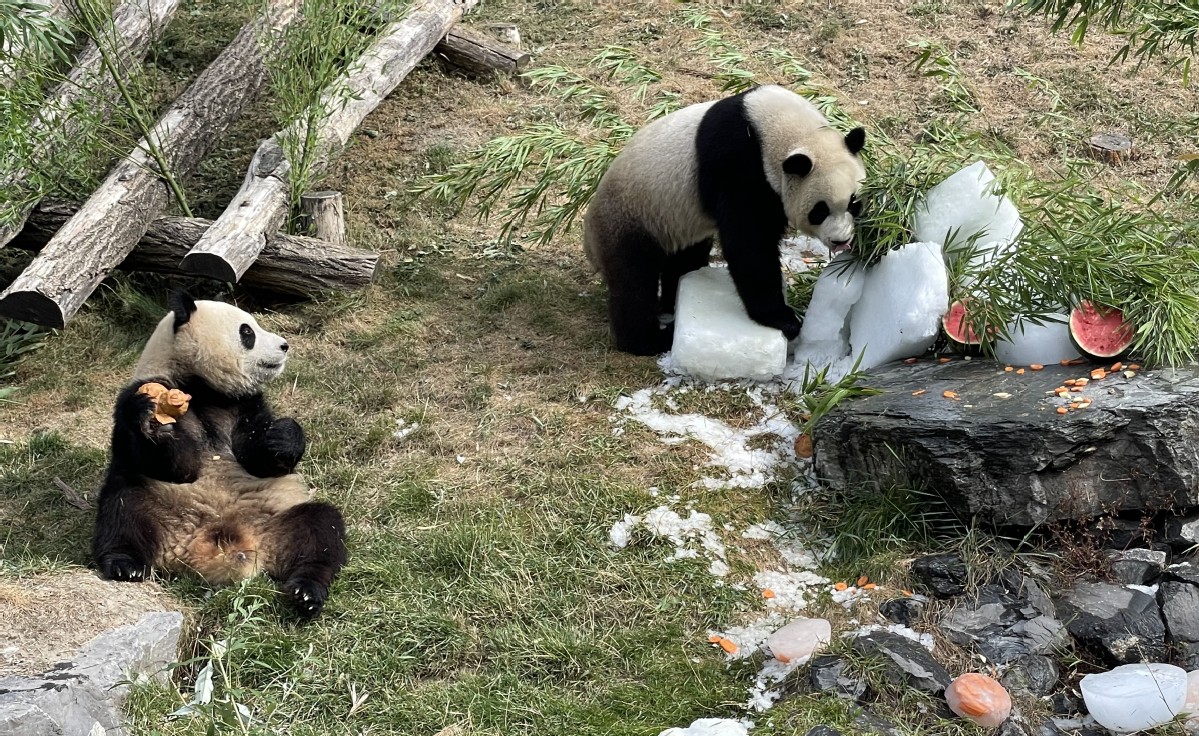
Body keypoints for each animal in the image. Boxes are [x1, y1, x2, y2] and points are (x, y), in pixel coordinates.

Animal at [92, 292, 347, 619]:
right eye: (247, 332)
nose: (284, 345)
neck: (201, 387)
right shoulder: (138, 392)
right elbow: (177, 467)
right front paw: (153, 423)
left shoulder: (244, 405)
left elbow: (260, 460)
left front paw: (283, 435)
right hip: (161, 509)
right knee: (124, 508)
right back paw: (125, 564)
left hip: (275, 521)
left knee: (321, 528)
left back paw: (306, 591)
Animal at [583, 84, 867, 355]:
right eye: (820, 211)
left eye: (854, 203)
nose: (840, 240)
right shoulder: (739, 166)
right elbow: (749, 244)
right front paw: (783, 319)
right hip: (632, 217)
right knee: (634, 281)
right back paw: (650, 339)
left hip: (676, 221)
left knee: (684, 258)